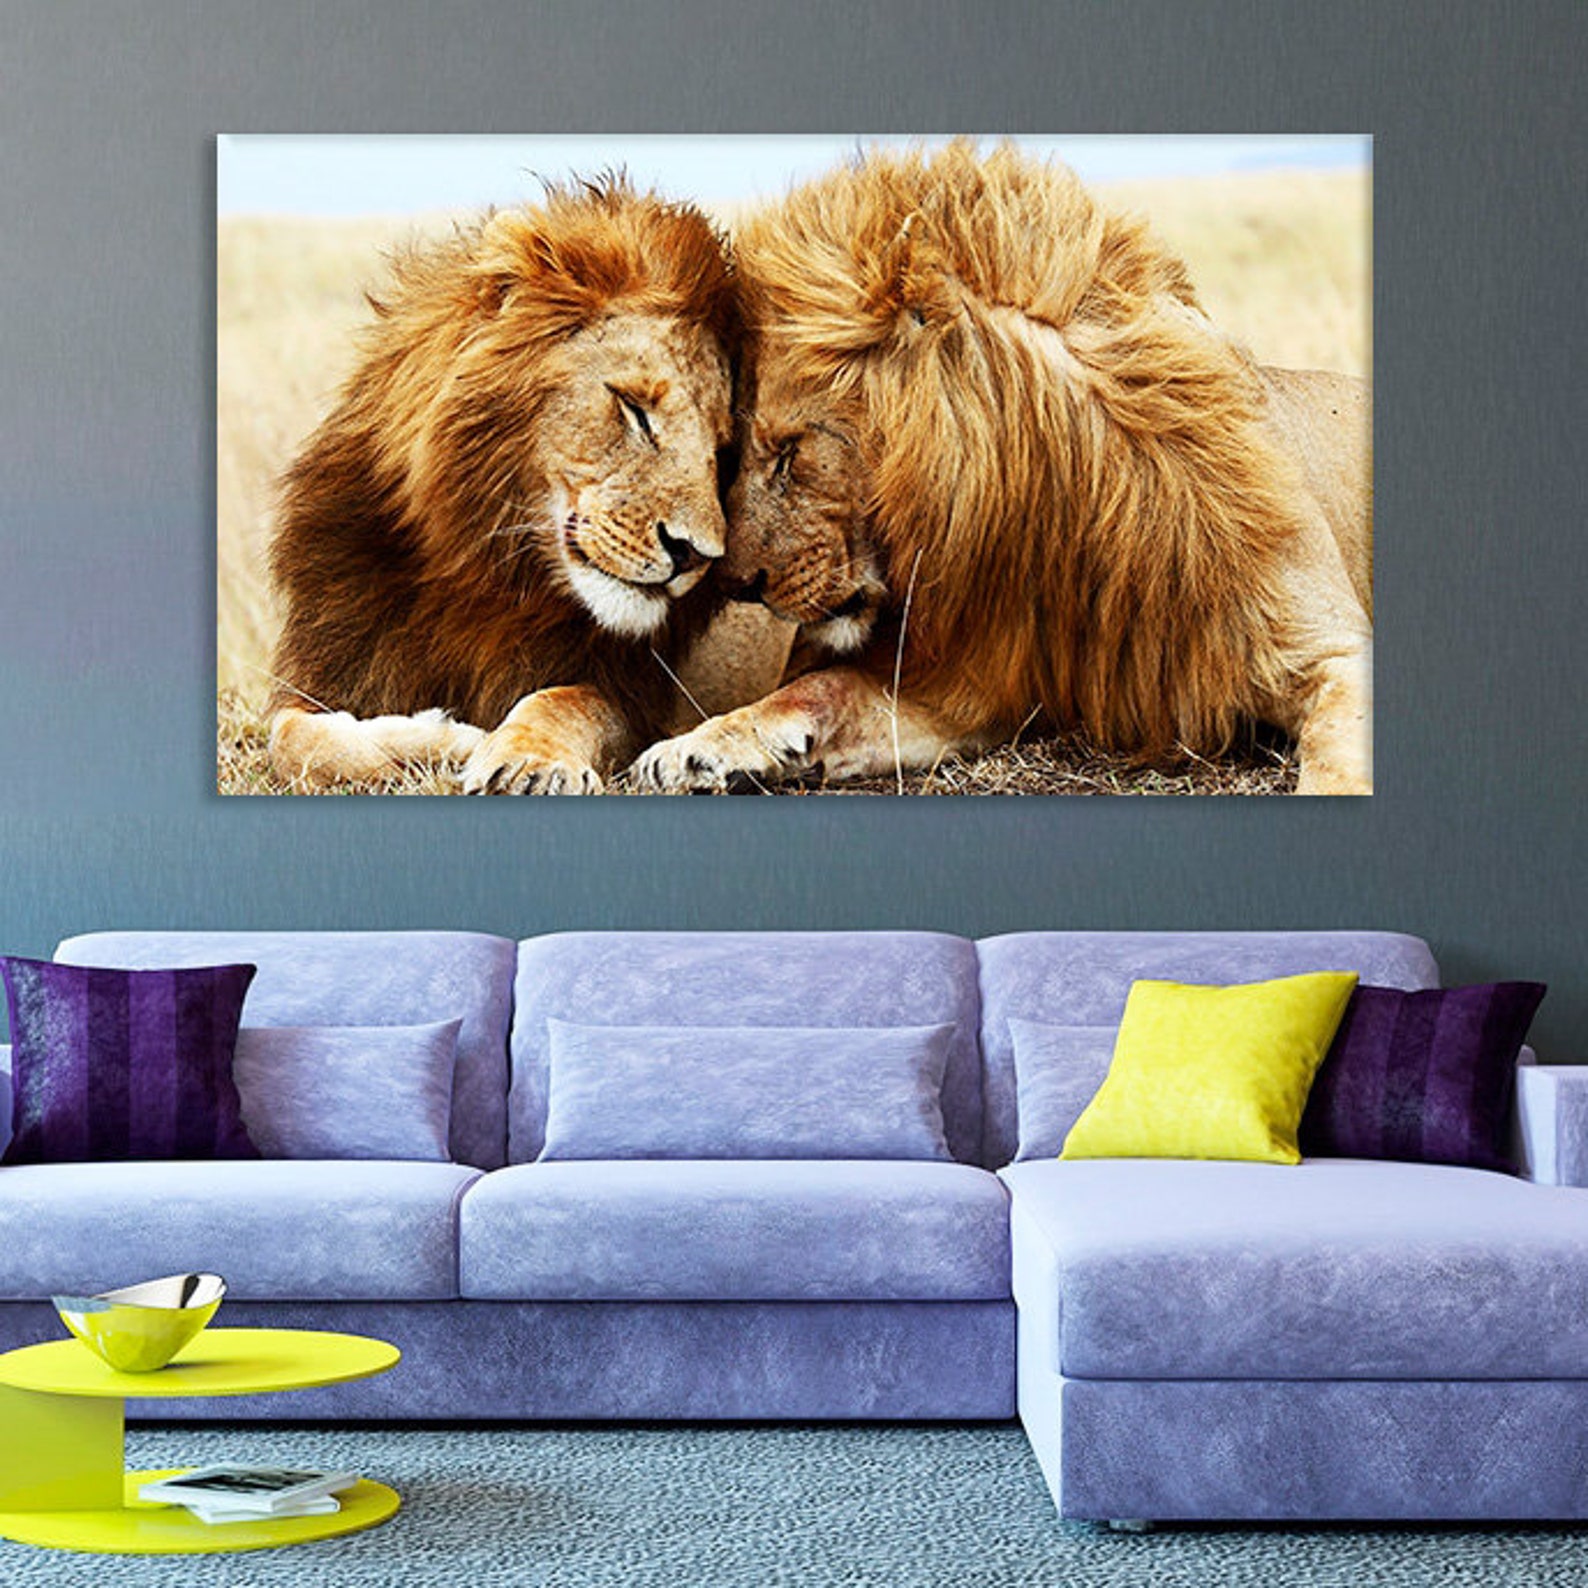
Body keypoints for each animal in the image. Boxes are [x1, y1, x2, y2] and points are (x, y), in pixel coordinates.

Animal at [266, 177, 739, 794]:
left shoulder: (630, 695)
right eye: (634, 409)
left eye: (722, 451)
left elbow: (563, 700)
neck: (481, 568)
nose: (695, 556)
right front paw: (442, 738)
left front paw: (526, 761)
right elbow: (294, 739)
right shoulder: (329, 667)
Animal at [632, 142, 1373, 796]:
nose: (734, 583)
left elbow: (1339, 760)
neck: (1061, 505)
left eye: (789, 450)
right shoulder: (973, 686)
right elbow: (821, 687)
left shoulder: (1334, 650)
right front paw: (695, 748)